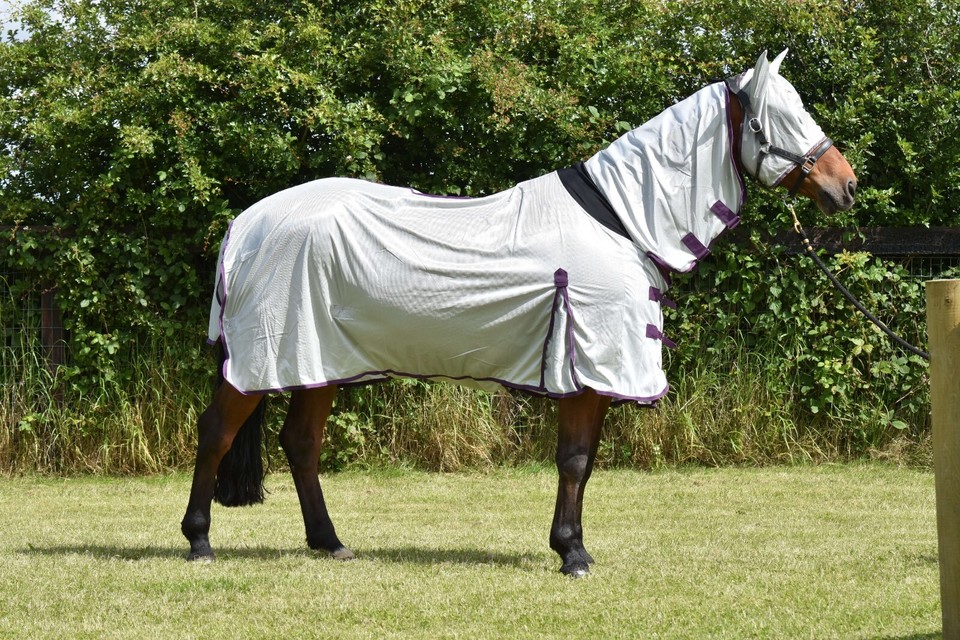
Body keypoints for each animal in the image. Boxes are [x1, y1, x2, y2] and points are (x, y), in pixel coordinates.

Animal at [181, 51, 857, 577]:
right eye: (780, 117)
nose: (845, 184)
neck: (619, 218)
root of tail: (247, 223)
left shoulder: (594, 374)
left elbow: (583, 462)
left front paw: (573, 548)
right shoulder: (592, 367)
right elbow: (575, 461)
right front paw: (572, 554)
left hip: (318, 358)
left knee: (301, 443)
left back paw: (330, 543)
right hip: (266, 356)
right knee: (216, 433)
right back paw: (199, 540)